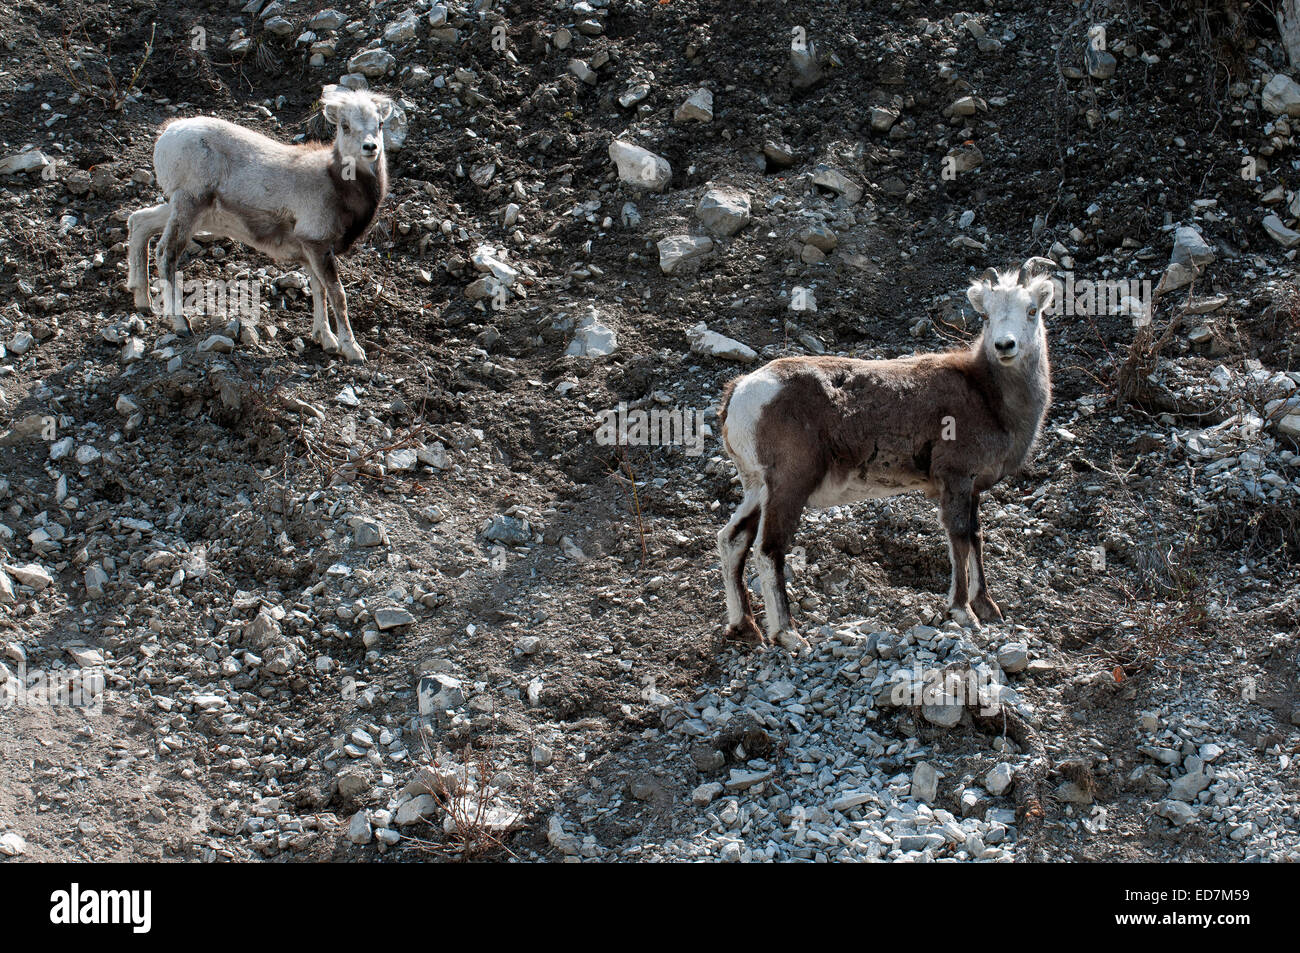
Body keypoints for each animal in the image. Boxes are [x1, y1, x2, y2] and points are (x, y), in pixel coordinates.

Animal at [126, 85, 393, 363]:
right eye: (345, 125)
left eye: (380, 123)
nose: (370, 147)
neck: (336, 183)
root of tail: (169, 132)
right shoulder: (317, 244)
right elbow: (336, 293)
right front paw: (352, 350)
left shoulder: (311, 252)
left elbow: (318, 290)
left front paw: (326, 340)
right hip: (188, 205)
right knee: (165, 252)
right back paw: (181, 324)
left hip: (191, 211)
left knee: (139, 222)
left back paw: (142, 300)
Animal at [717, 257, 1056, 646]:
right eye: (986, 315)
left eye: (1031, 310)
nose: (1004, 345)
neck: (988, 395)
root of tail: (740, 392)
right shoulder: (955, 477)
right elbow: (958, 538)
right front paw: (963, 613)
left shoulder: (972, 487)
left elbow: (976, 537)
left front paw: (988, 608)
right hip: (788, 485)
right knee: (768, 549)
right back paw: (788, 635)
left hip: (757, 488)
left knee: (732, 540)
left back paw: (744, 626)